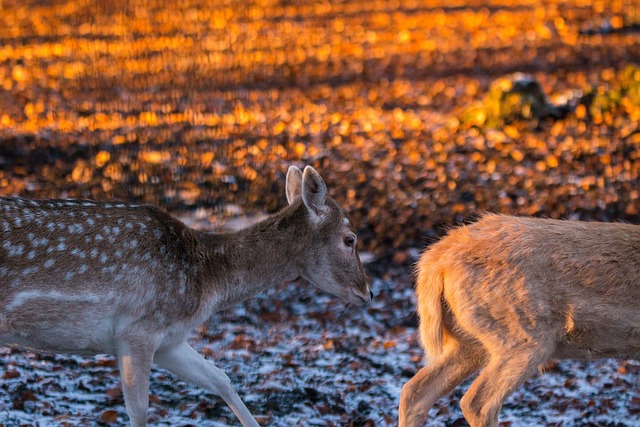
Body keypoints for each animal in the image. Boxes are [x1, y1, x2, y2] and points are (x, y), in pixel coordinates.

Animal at [0, 165, 372, 427]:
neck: (206, 285)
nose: (367, 292)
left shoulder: (170, 340)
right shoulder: (138, 331)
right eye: (350, 239)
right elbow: (140, 412)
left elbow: (221, 379)